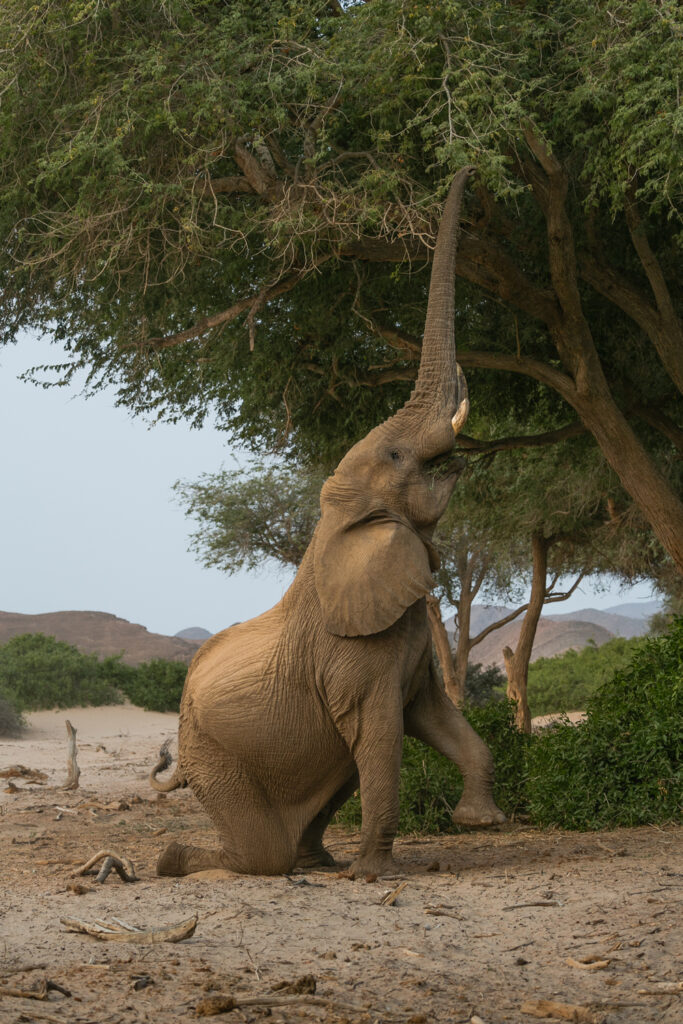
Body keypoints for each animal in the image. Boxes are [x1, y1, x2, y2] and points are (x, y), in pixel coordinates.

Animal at [151, 167, 505, 878]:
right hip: (212, 754)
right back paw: (173, 861)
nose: (471, 172)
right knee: (259, 853)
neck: (338, 522)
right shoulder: (355, 661)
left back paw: (318, 863)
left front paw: (481, 822)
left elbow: (436, 717)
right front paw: (375, 876)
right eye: (395, 456)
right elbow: (382, 740)